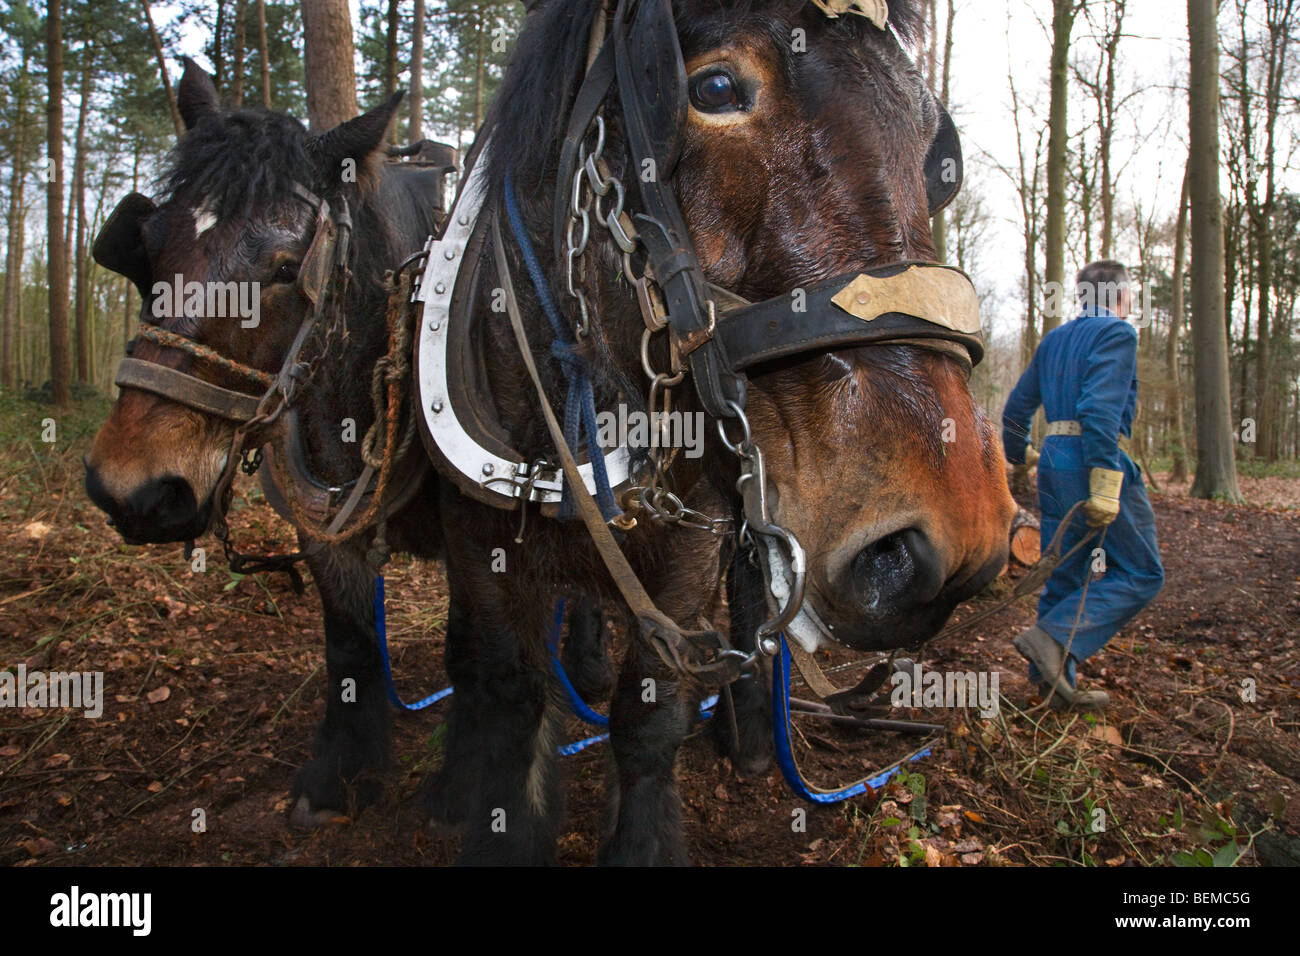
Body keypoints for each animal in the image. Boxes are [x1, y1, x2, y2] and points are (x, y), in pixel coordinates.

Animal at [84, 0, 1016, 866]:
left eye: (935, 146)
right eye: (143, 249)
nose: (136, 486)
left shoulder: (689, 542)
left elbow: (648, 712)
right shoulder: (440, 530)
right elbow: (446, 666)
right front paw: (387, 785)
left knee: (753, 600)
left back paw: (749, 734)